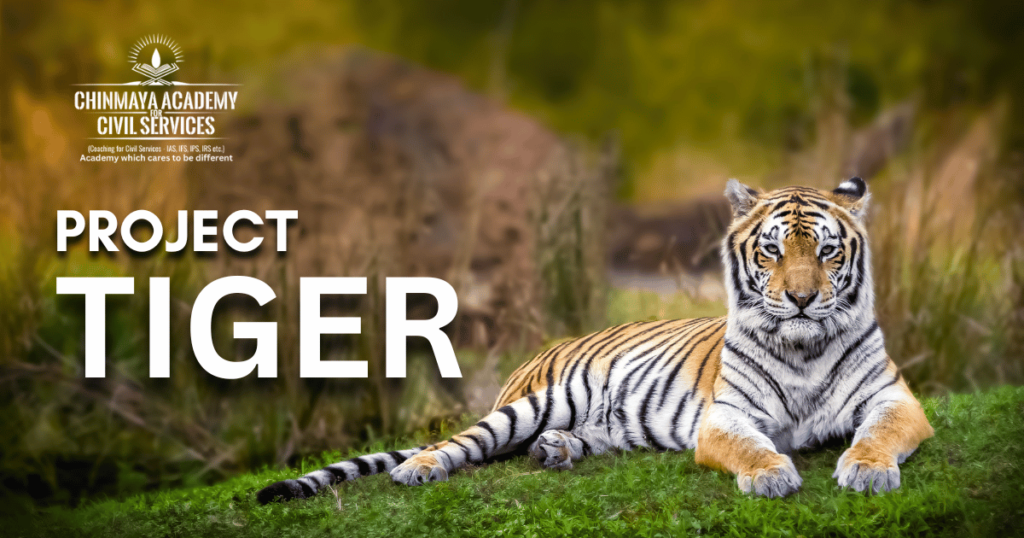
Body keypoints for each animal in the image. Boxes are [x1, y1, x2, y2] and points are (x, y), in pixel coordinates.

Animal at [257, 177, 933, 503]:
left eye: (825, 251)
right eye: (771, 251)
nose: (800, 299)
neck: (803, 347)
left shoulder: (896, 399)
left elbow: (878, 434)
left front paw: (867, 471)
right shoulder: (727, 416)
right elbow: (749, 447)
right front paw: (770, 475)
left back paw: (556, 450)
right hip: (536, 402)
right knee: (463, 442)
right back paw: (419, 468)